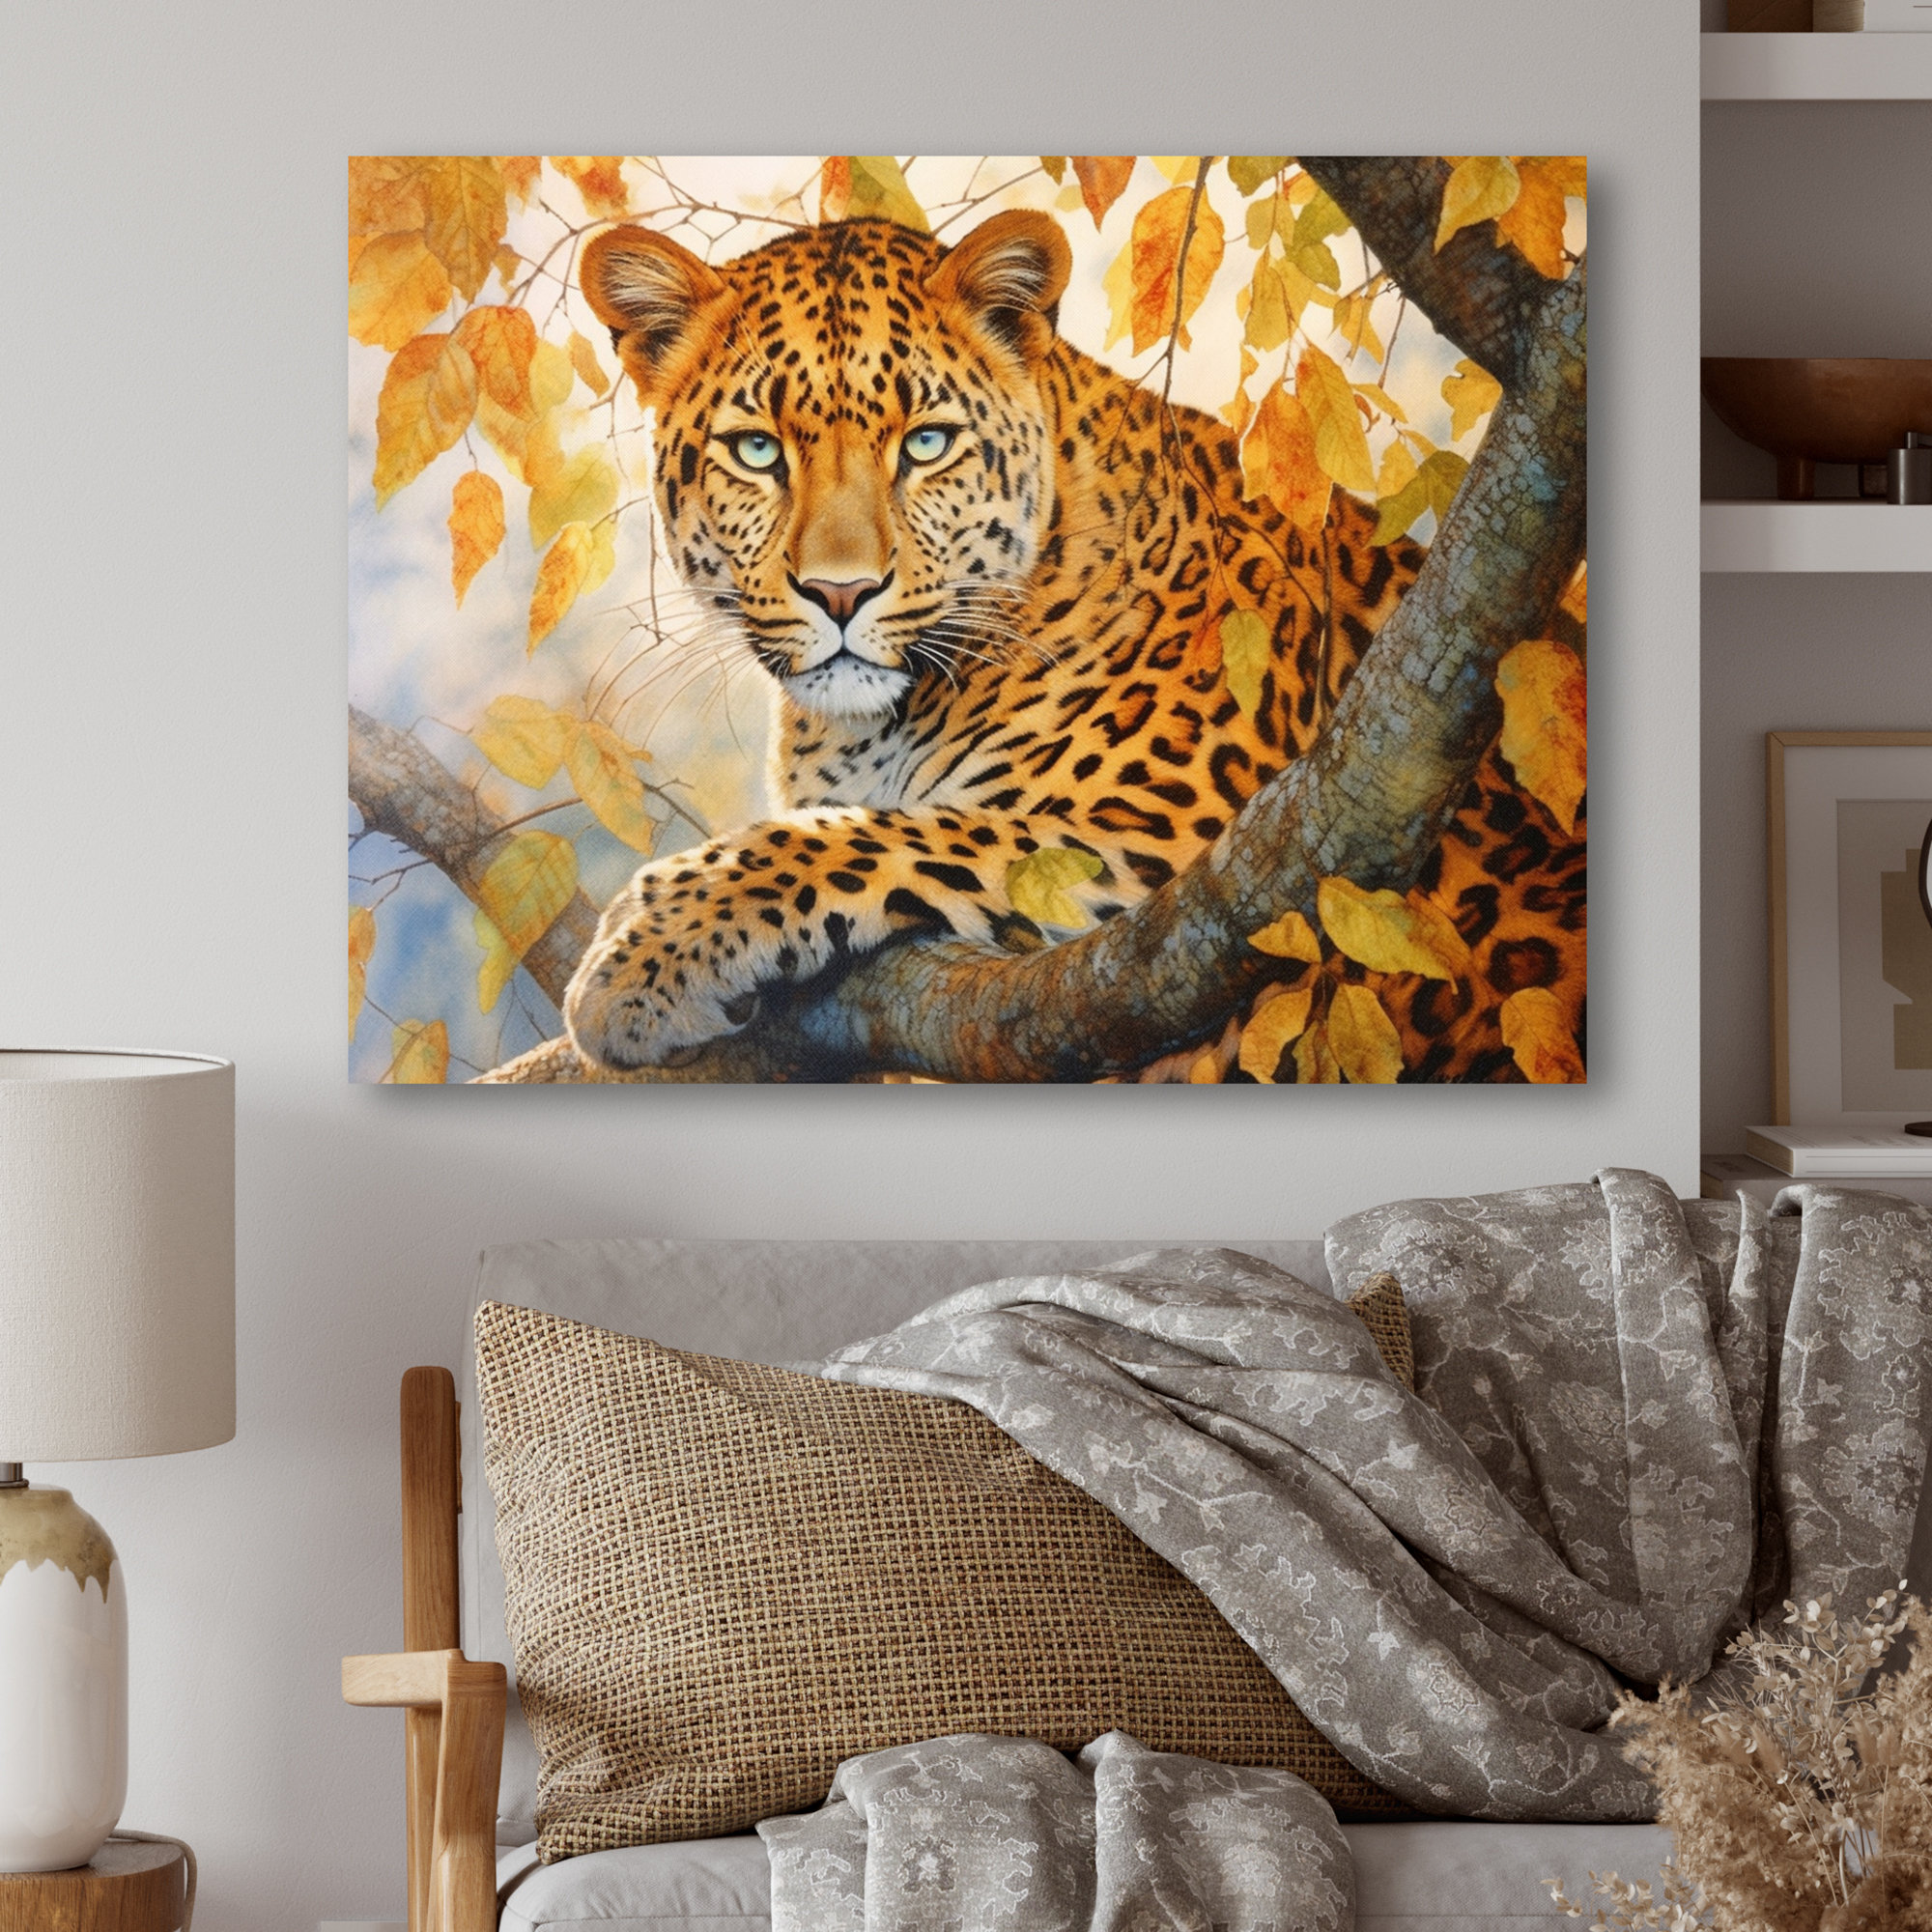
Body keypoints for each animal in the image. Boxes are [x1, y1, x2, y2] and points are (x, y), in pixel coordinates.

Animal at [565, 207, 1585, 1080]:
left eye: (926, 444)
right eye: (758, 452)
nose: (841, 592)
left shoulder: (1187, 847)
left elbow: (881, 834)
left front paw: (636, 957)